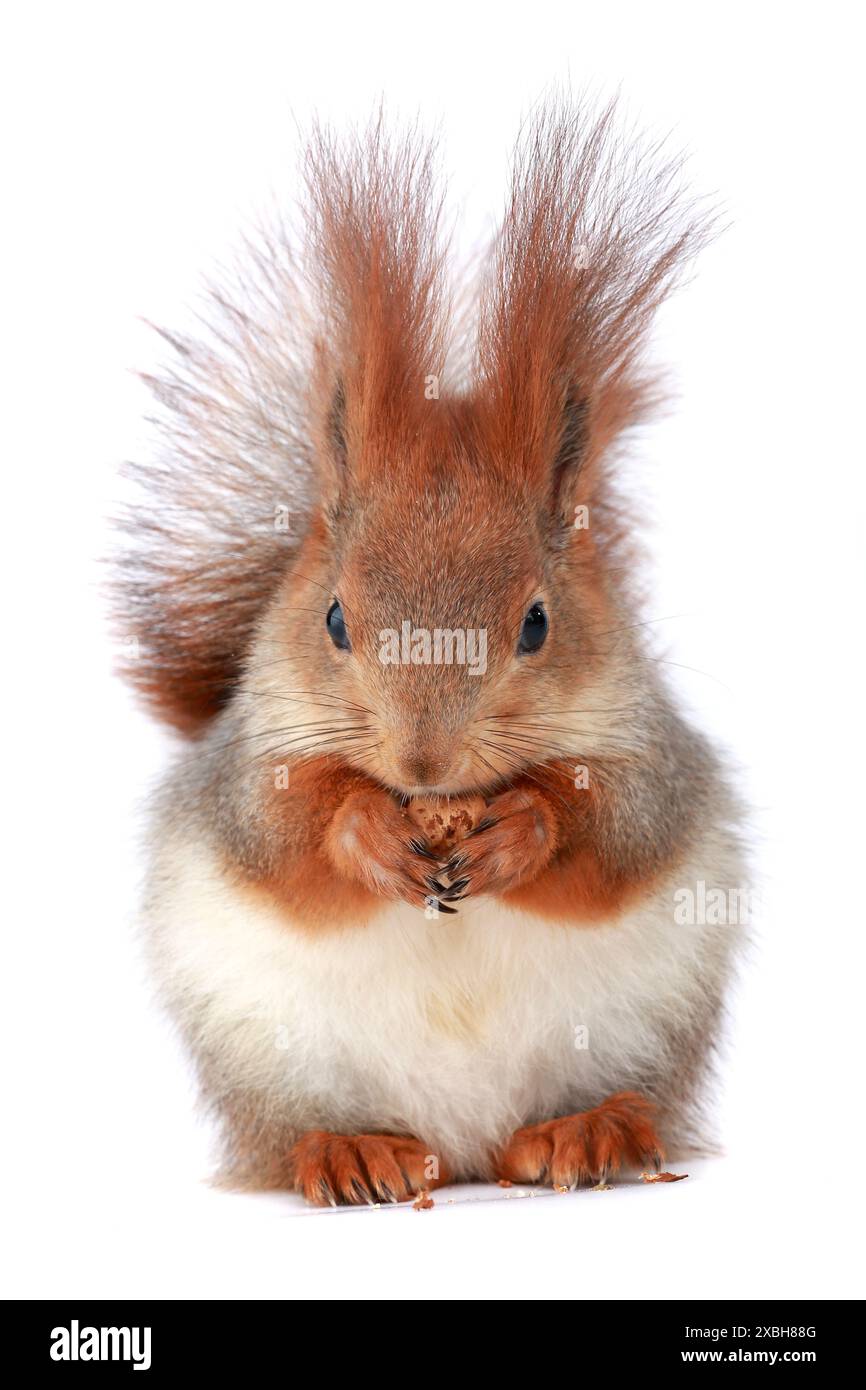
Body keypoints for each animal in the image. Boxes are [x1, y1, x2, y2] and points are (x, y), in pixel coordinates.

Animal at [115, 99, 746, 1203]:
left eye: (537, 622)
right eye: (332, 619)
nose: (422, 761)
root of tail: (462, 1148)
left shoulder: (652, 747)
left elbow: (622, 828)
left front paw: (520, 828)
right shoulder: (244, 764)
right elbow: (277, 829)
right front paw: (367, 826)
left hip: (645, 1028)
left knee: (611, 1102)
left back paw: (585, 1132)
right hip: (267, 1056)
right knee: (287, 1135)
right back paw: (350, 1150)